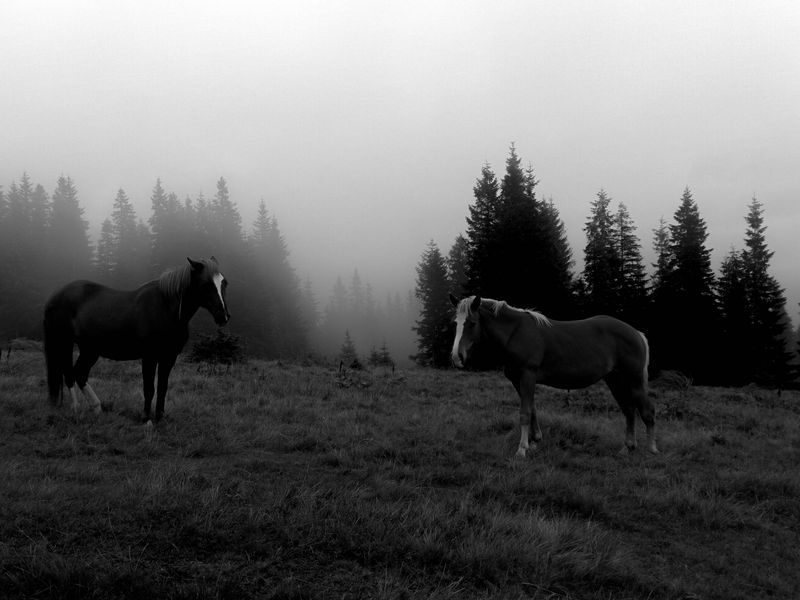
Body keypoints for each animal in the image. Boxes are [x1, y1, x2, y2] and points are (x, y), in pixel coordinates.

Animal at [43, 257, 230, 421]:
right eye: (206, 284)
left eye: (224, 283)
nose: (223, 316)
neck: (165, 309)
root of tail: (56, 295)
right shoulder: (149, 357)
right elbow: (149, 389)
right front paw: (146, 417)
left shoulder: (169, 357)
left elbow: (162, 388)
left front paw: (160, 417)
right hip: (64, 343)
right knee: (69, 374)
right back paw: (76, 408)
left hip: (89, 349)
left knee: (79, 373)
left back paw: (96, 408)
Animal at [450, 294, 657, 457]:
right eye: (456, 323)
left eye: (472, 323)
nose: (457, 357)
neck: (515, 332)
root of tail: (636, 333)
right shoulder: (518, 380)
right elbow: (532, 409)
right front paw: (534, 441)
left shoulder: (528, 376)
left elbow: (525, 412)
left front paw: (522, 449)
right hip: (615, 380)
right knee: (629, 410)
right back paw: (627, 448)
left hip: (634, 380)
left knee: (646, 411)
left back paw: (651, 449)